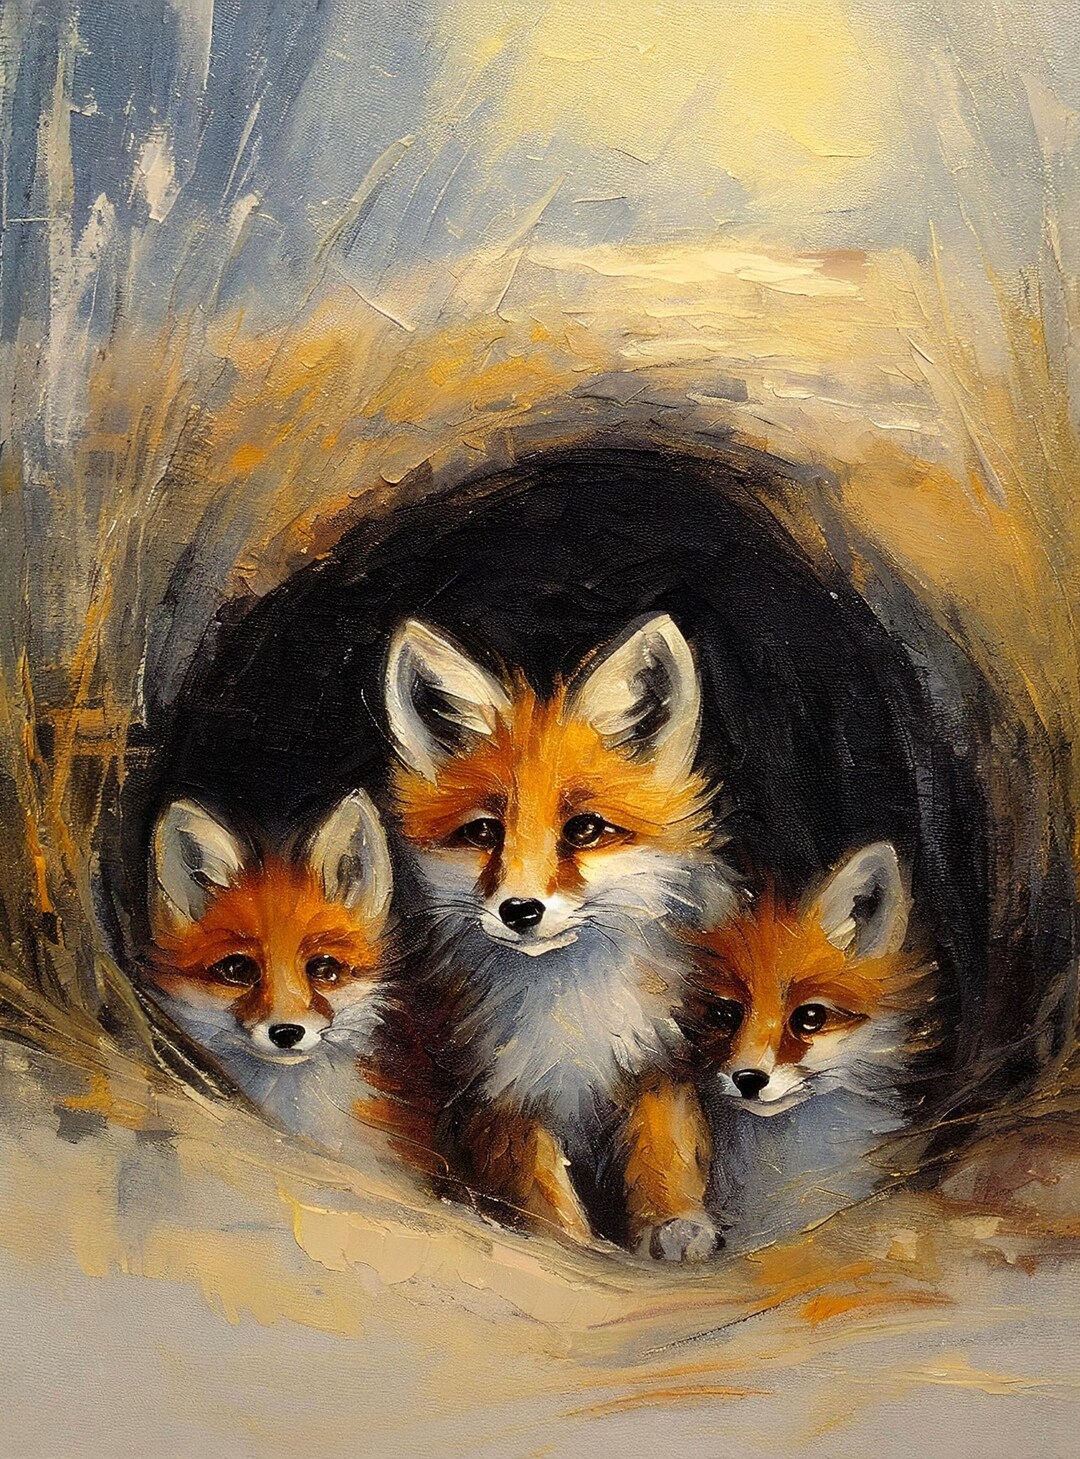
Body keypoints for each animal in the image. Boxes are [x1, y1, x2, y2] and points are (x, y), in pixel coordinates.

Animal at [385, 612, 736, 1260]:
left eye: (585, 830)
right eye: (483, 832)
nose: (519, 910)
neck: (570, 1017)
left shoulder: (655, 1056)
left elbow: (663, 1144)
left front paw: (674, 1220)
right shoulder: (498, 1096)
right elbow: (546, 1197)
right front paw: (576, 1246)